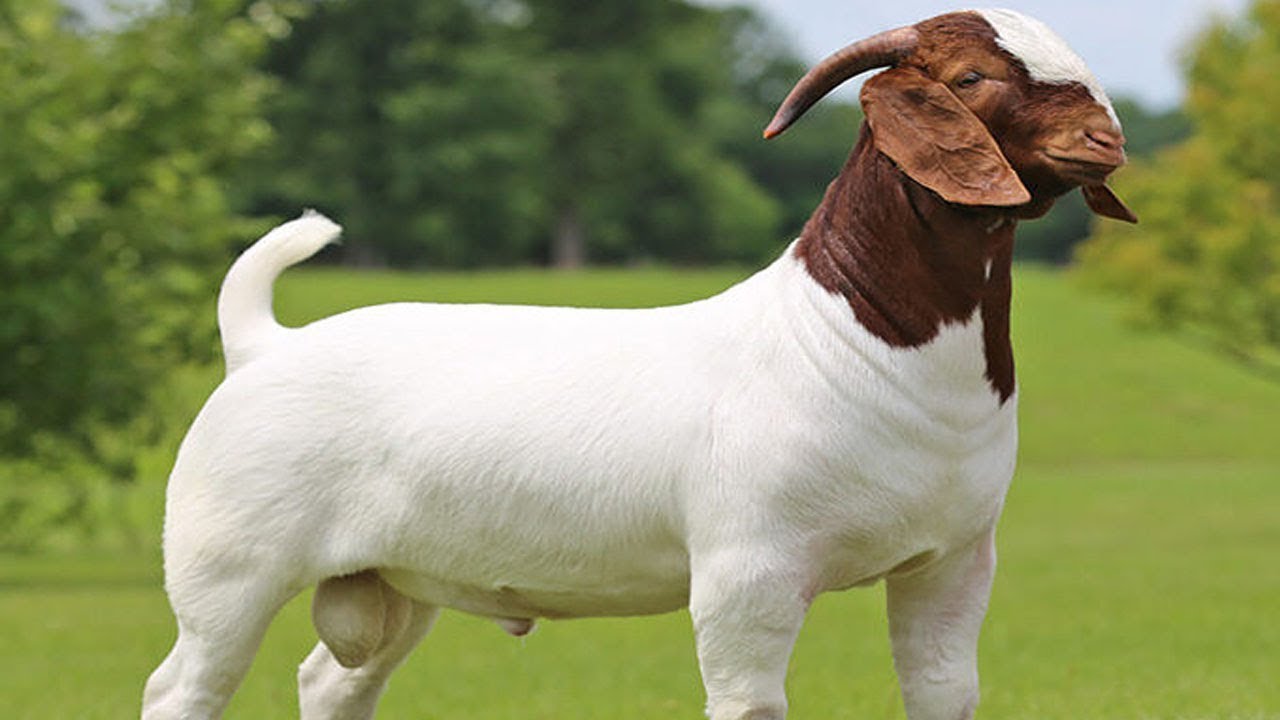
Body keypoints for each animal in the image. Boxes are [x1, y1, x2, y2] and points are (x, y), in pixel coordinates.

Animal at [142, 9, 1135, 720]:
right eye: (971, 78)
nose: (1108, 140)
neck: (848, 340)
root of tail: (264, 344)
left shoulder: (952, 565)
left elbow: (941, 692)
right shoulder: (747, 578)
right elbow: (749, 702)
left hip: (393, 583)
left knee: (333, 682)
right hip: (227, 571)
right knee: (183, 687)